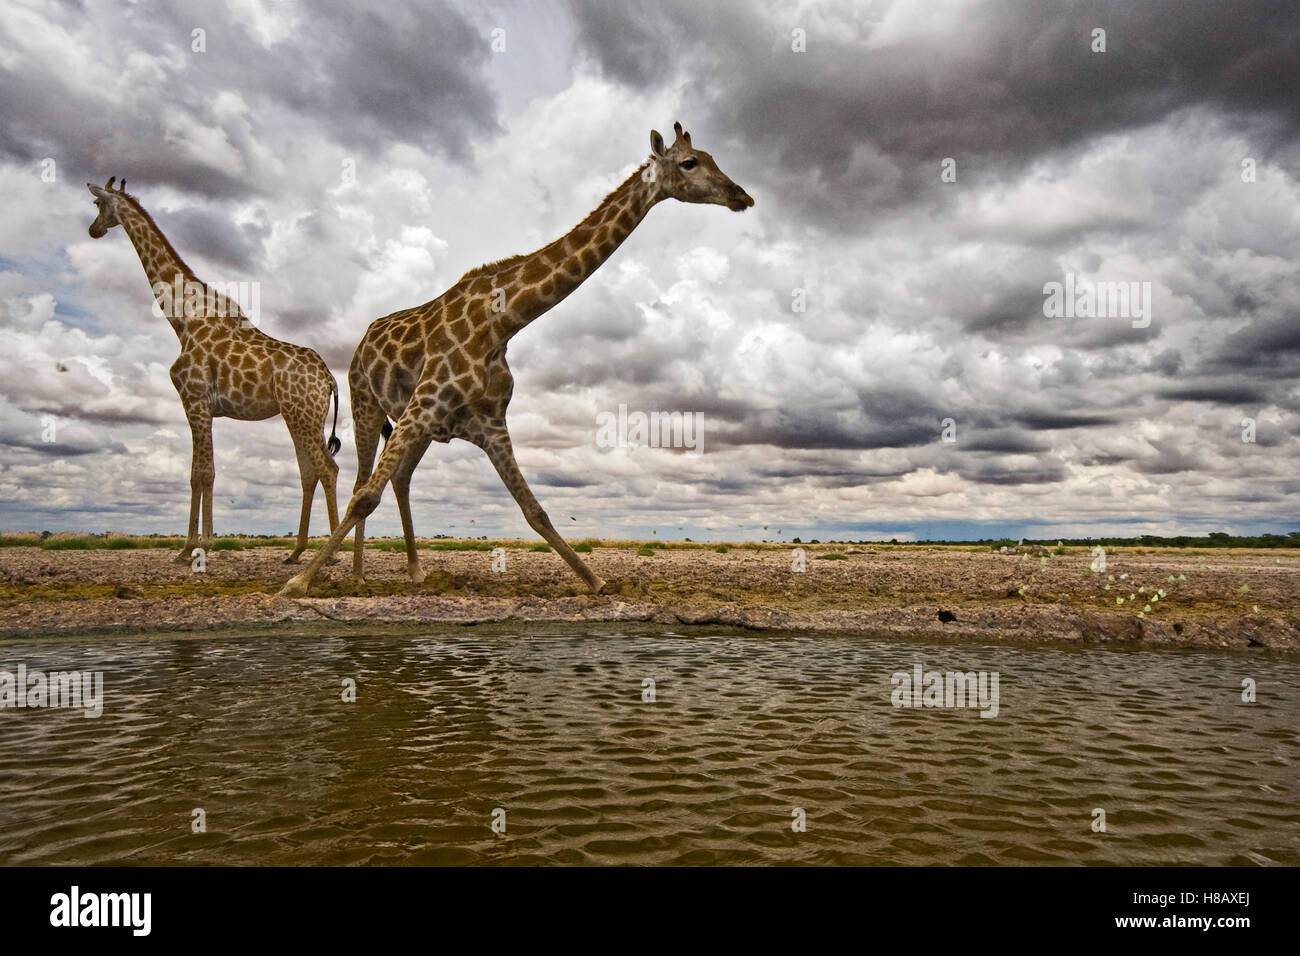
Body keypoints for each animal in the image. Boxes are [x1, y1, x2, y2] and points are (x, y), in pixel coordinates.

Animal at [86, 177, 342, 563]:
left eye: (99, 205)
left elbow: (204, 473)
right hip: (301, 415)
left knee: (328, 468)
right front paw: (188, 548)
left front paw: (199, 546)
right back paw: (296, 551)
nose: (93, 230)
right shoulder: (198, 406)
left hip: (304, 413)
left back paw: (331, 552)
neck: (183, 320)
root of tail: (329, 379)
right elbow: (196, 473)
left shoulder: (195, 400)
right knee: (308, 472)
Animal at [279, 122, 753, 597]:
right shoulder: (425, 403)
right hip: (367, 403)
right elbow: (365, 497)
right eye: (689, 162)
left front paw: (596, 581)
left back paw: (413, 570)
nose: (743, 196)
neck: (503, 323)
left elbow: (534, 510)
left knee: (400, 478)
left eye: (712, 158)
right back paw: (357, 574)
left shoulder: (487, 421)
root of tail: (363, 340)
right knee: (361, 479)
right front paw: (297, 583)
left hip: (421, 426)